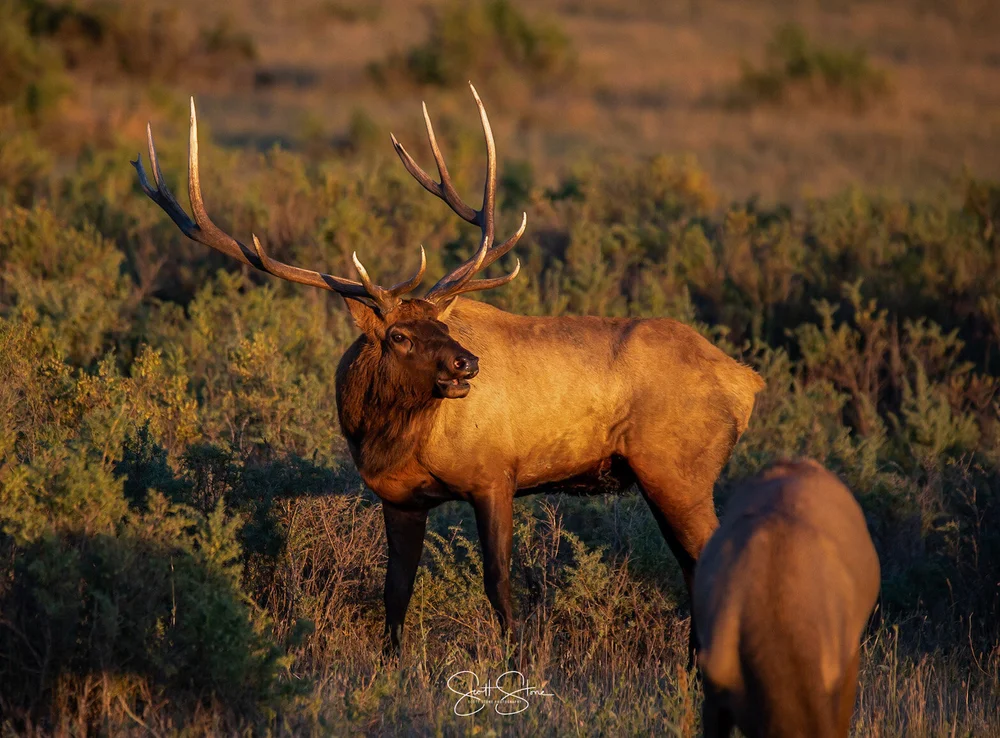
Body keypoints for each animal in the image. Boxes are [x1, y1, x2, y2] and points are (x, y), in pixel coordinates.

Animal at [132, 84, 765, 660]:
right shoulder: (399, 498)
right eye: (399, 335)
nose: (468, 363)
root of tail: (746, 381)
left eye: (444, 325)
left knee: (708, 558)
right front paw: (390, 667)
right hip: (665, 476)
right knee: (693, 566)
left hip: (677, 469)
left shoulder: (495, 474)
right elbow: (395, 590)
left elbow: (499, 582)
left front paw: (517, 666)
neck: (389, 440)